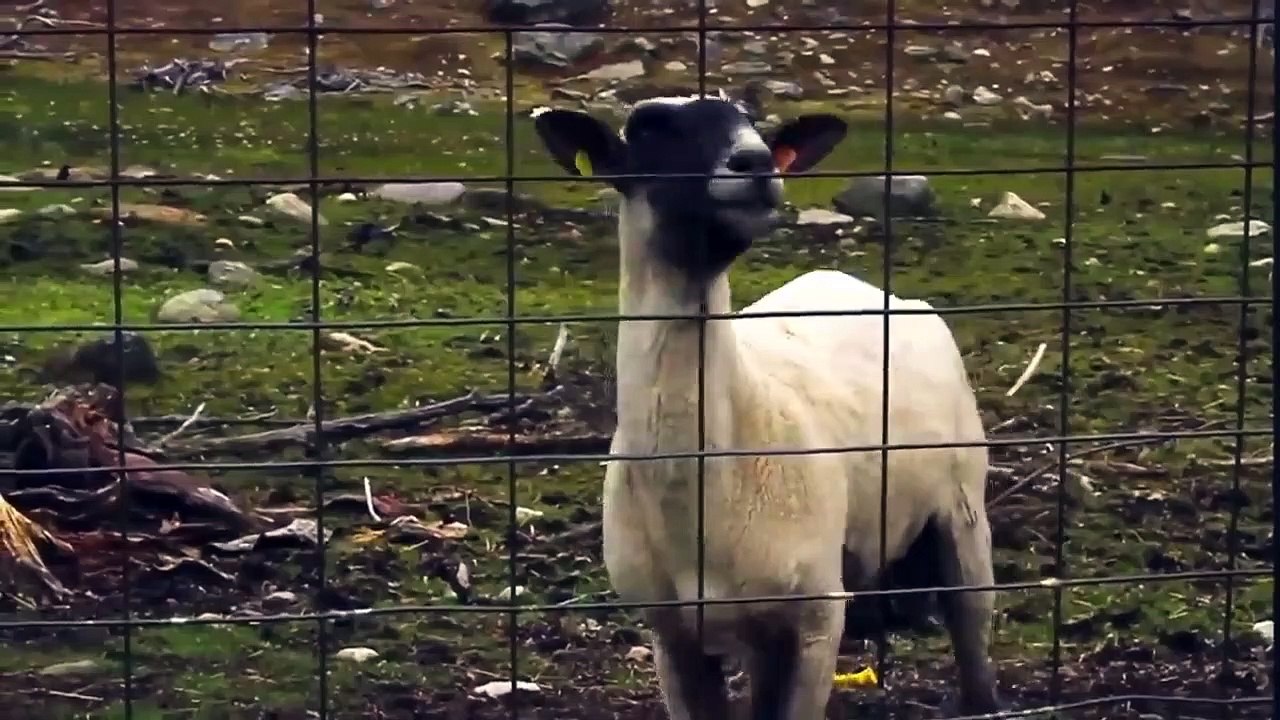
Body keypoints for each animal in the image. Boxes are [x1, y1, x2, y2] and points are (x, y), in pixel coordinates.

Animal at [533, 94, 1003, 719]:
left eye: (753, 122)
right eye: (649, 129)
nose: (755, 163)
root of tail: (861, 286)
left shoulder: (818, 617)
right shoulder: (671, 633)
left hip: (962, 511)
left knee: (973, 634)